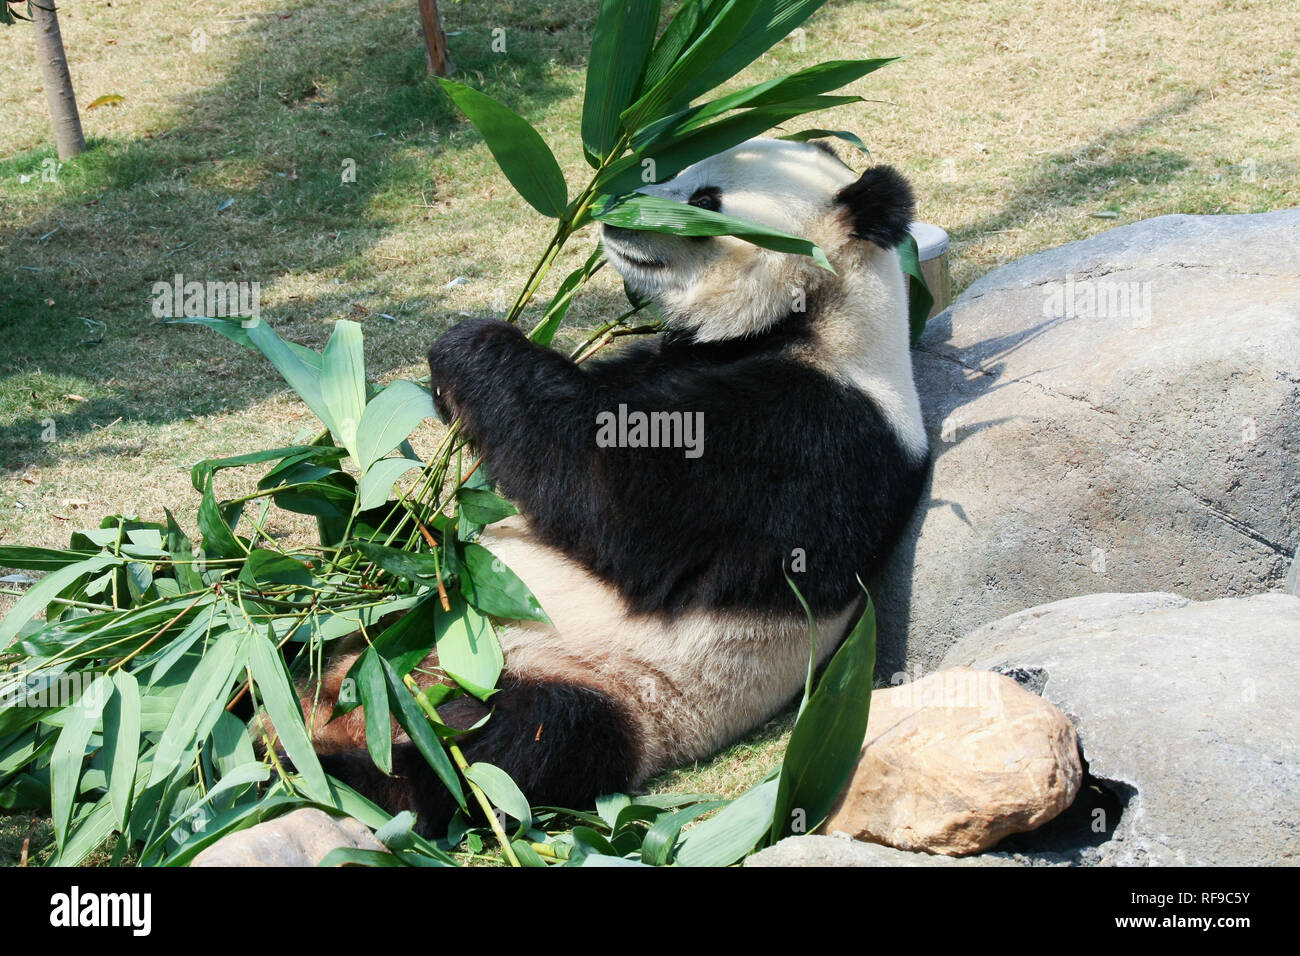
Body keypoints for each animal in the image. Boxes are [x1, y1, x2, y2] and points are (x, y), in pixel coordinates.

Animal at [308, 137, 930, 835]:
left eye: (705, 202)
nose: (613, 209)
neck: (823, 312)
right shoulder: (674, 359)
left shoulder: (809, 438)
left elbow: (614, 498)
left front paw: (472, 344)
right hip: (407, 622)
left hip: (594, 683)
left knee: (520, 744)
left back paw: (343, 773)